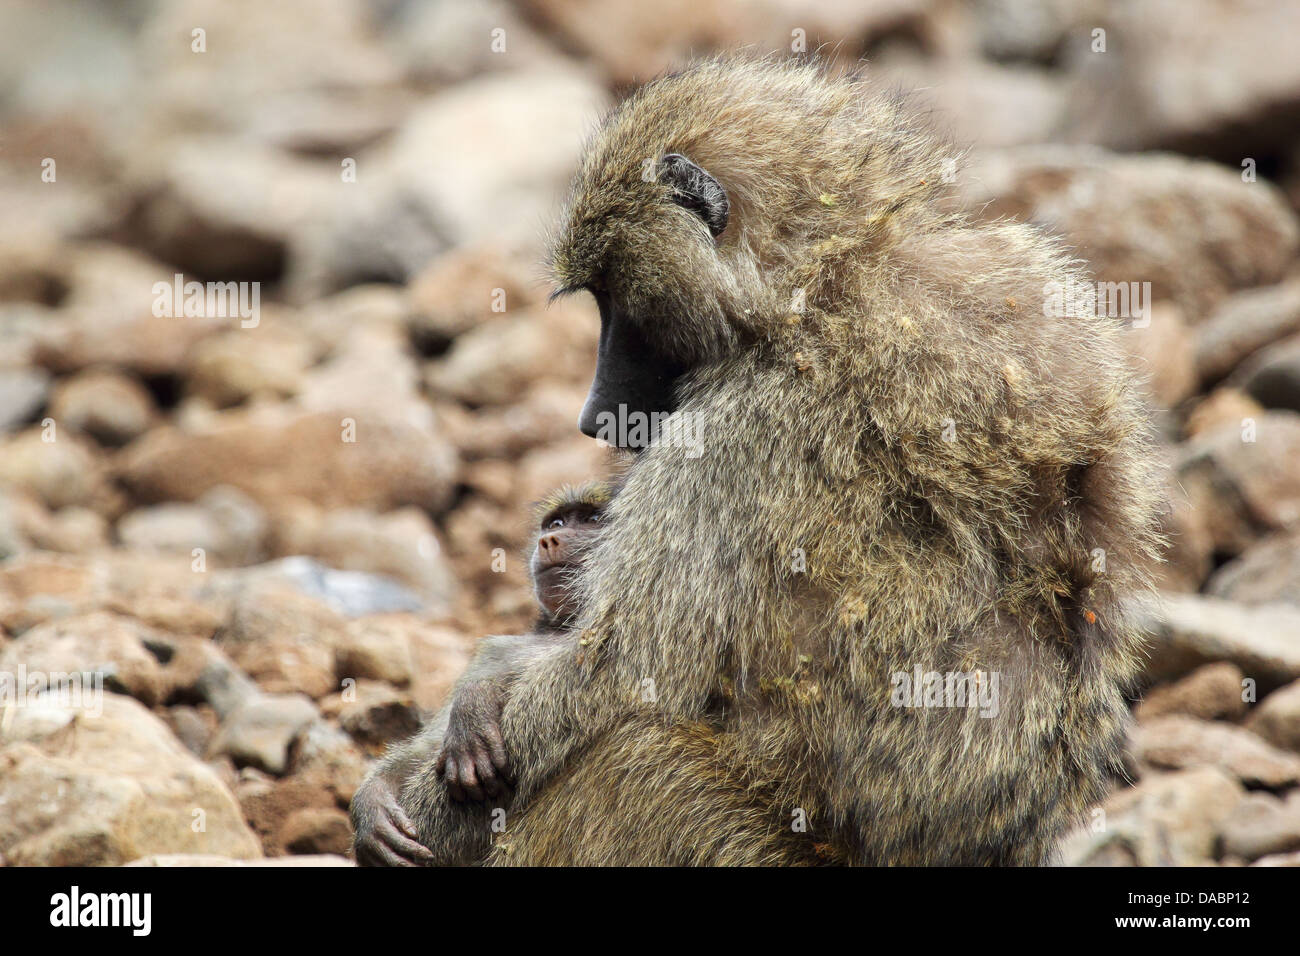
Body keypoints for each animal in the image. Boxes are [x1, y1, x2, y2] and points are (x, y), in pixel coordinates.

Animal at [350, 481, 615, 866]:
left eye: (592, 519)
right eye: (557, 522)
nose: (549, 540)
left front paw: (477, 701)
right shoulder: (497, 650)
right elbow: (429, 747)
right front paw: (373, 803)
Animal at [398, 54, 1165, 866]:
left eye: (617, 304)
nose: (594, 417)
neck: (826, 280)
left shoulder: (744, 426)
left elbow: (621, 675)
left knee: (627, 753)